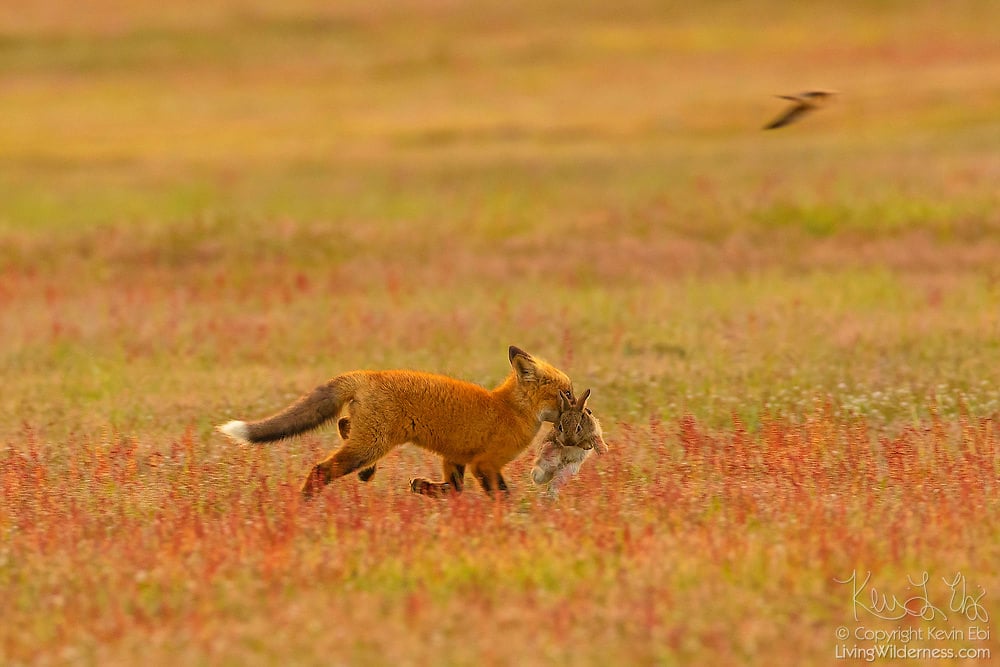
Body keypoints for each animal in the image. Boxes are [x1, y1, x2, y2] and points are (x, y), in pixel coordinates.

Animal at [217, 346, 574, 499]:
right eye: (567, 393)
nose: (581, 406)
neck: (509, 409)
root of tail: (368, 374)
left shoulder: (455, 457)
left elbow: (454, 489)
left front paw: (425, 489)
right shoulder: (485, 464)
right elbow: (500, 495)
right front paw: (514, 519)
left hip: (370, 438)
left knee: (344, 424)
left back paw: (366, 473)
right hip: (370, 444)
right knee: (322, 468)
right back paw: (305, 500)